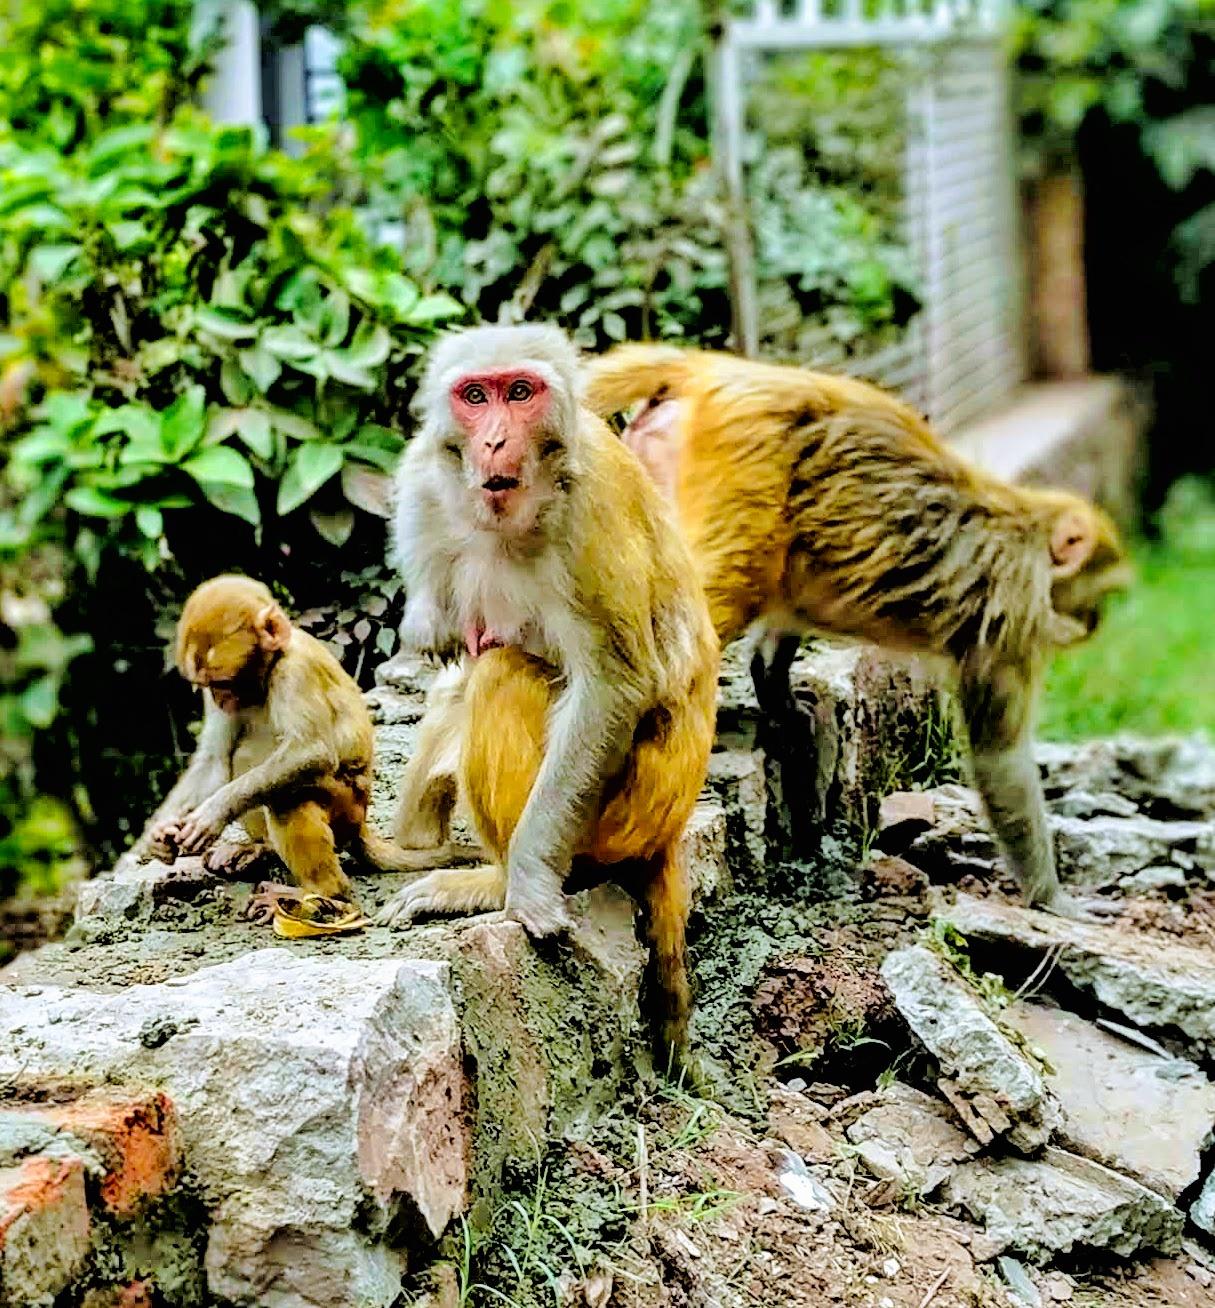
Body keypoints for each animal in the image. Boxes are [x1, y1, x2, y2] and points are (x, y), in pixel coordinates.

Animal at [128, 574, 469, 926]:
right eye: (208, 686)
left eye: (224, 682)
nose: (221, 699)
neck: (271, 666)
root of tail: (361, 822)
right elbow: (214, 761)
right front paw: (159, 833)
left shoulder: (296, 672)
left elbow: (312, 753)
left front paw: (212, 814)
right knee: (245, 758)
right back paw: (260, 849)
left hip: (345, 807)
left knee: (286, 796)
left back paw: (322, 893)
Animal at [375, 323, 719, 1061]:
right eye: (475, 396)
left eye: (520, 392)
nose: (495, 441)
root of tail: (671, 827)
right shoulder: (424, 475)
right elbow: (442, 638)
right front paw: (426, 624)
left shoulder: (594, 518)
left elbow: (611, 688)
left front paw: (528, 885)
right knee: (467, 676)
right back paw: (413, 843)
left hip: (620, 819)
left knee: (500, 672)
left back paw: (495, 879)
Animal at [584, 344, 1132, 921]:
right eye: (1095, 598)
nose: (1094, 624)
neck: (1025, 533)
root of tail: (714, 371)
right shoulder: (1014, 621)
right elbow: (1001, 760)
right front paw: (1053, 897)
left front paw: (778, 697)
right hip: (750, 462)